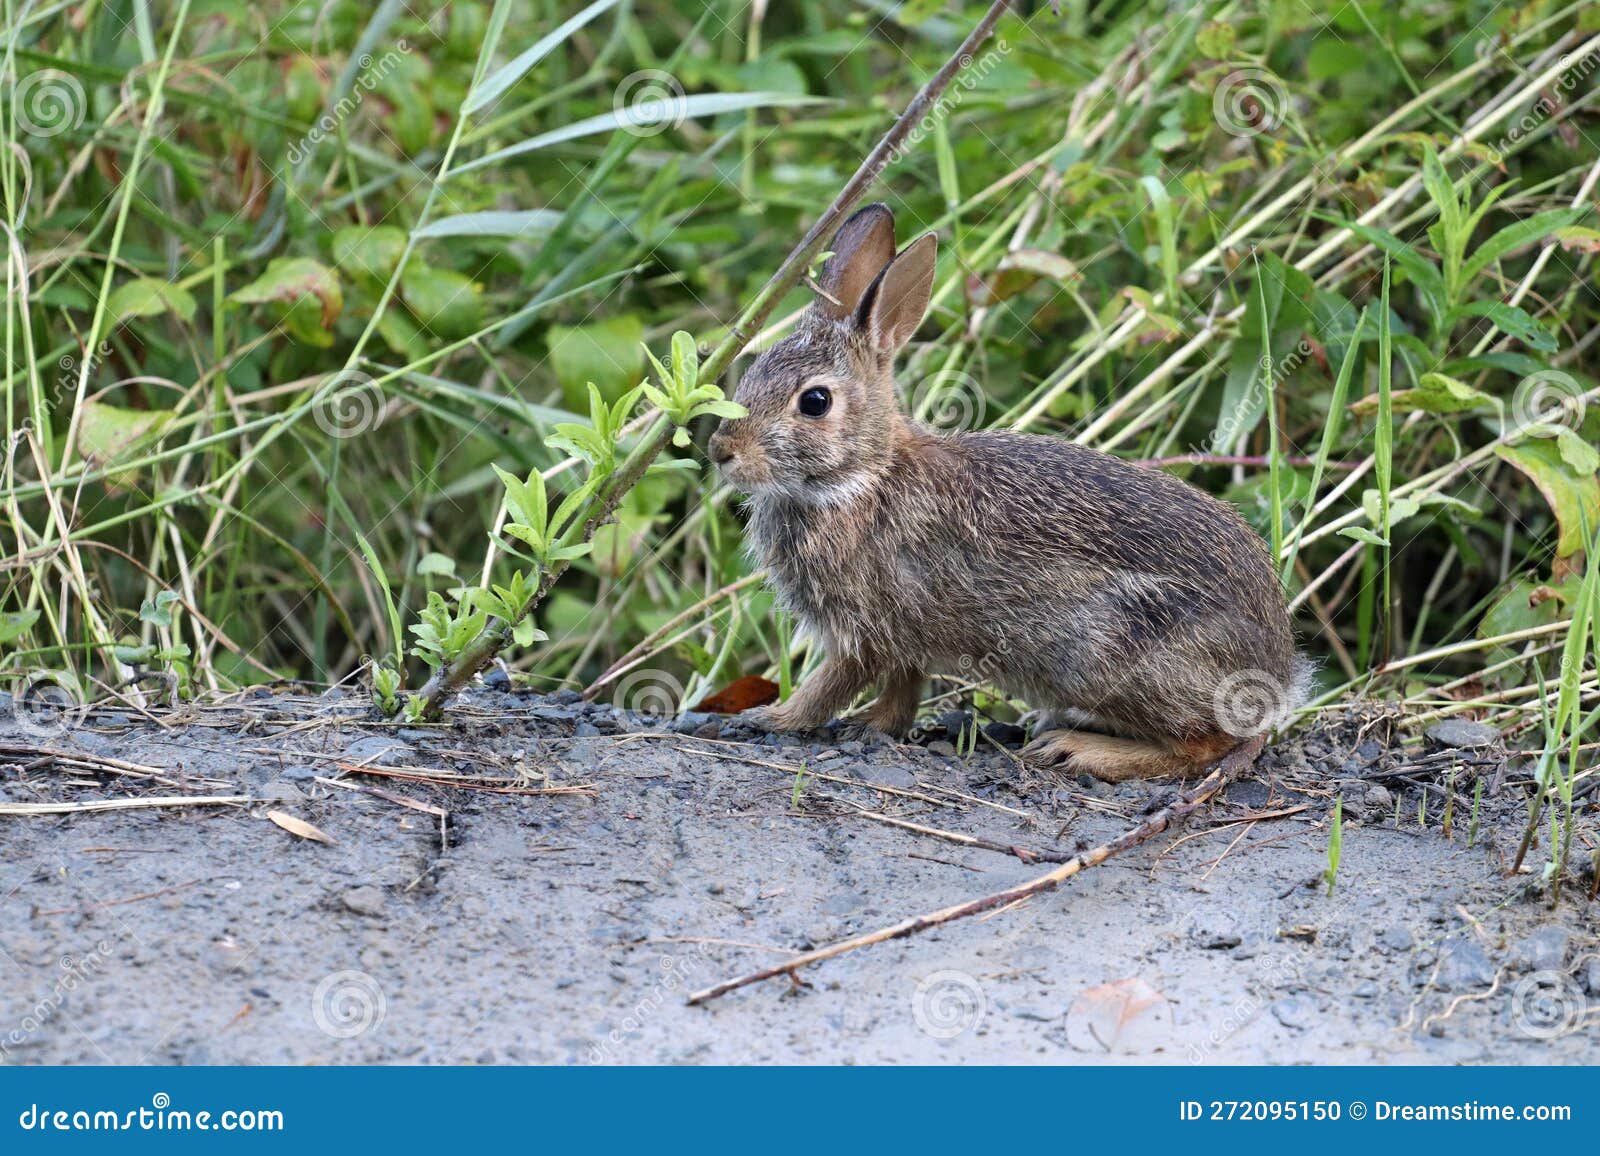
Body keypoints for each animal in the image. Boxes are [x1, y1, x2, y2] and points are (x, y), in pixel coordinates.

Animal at [706, 204, 1312, 782]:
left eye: (814, 402)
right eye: (752, 372)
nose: (720, 450)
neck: (863, 476)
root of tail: (1278, 676)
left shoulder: (863, 628)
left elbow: (831, 684)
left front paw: (768, 718)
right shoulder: (902, 637)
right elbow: (902, 690)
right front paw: (876, 726)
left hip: (1103, 655)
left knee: (1203, 745)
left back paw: (1080, 750)